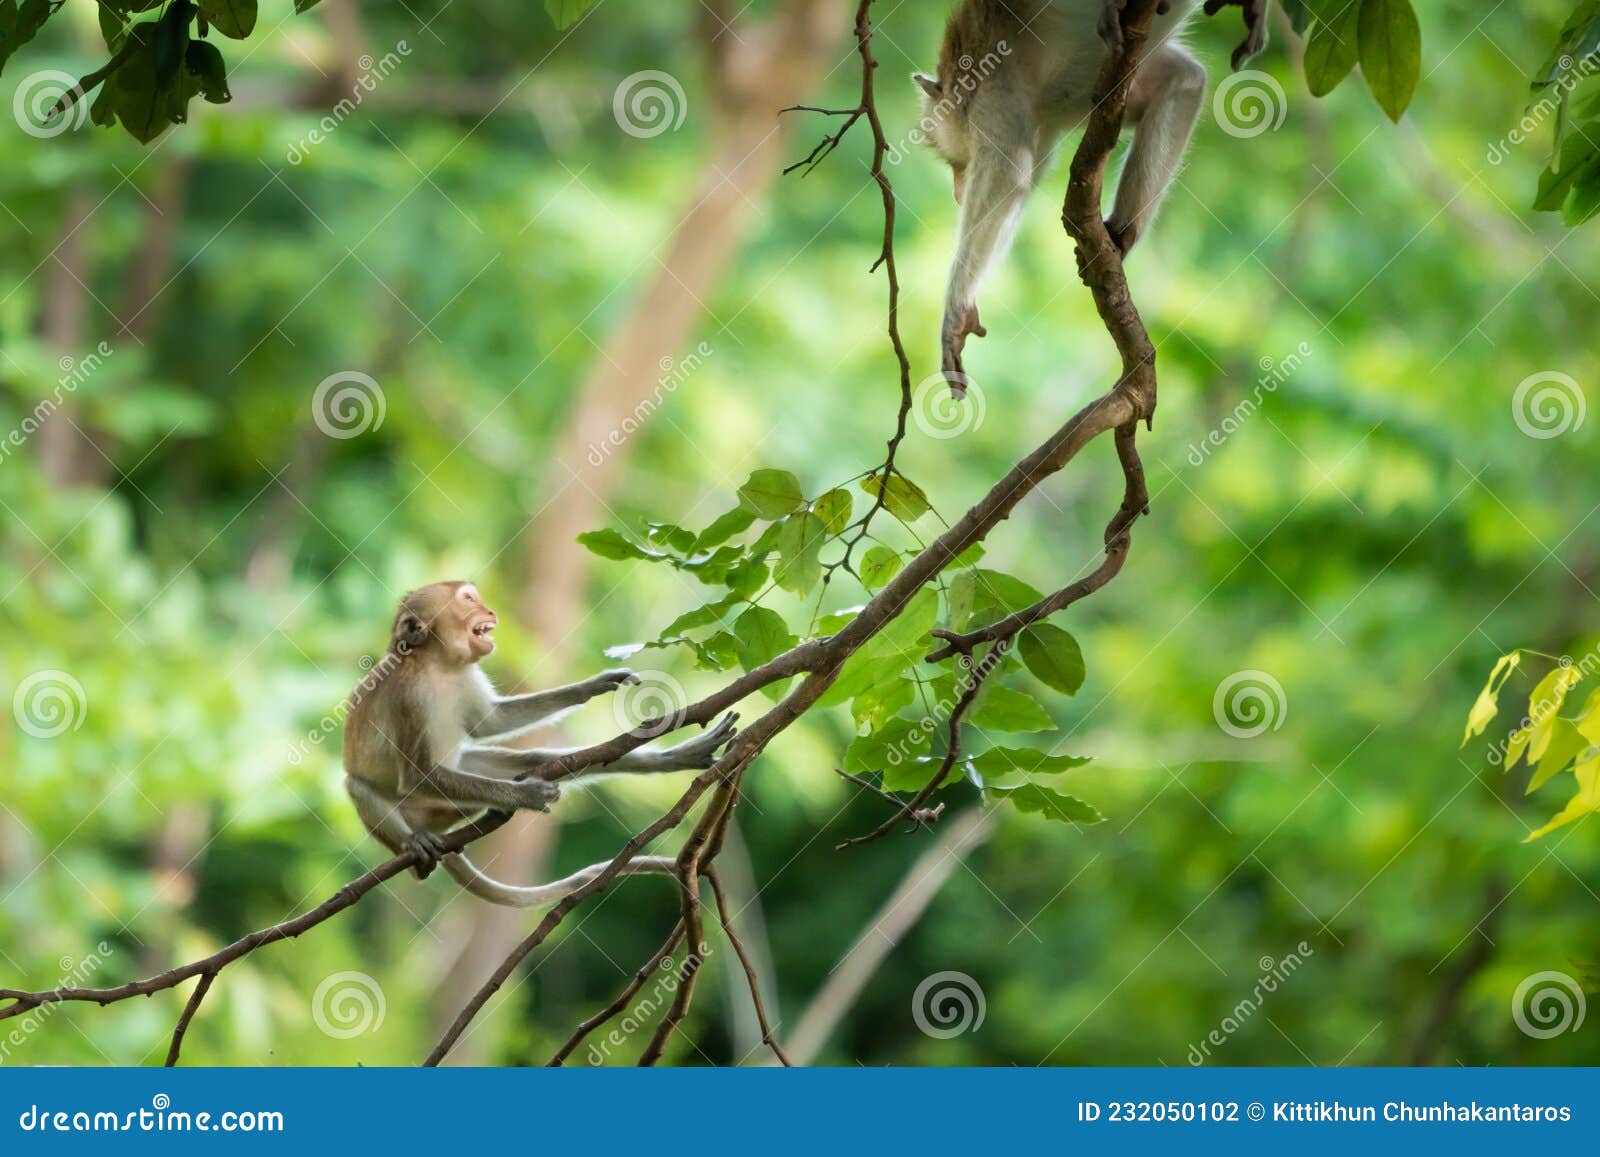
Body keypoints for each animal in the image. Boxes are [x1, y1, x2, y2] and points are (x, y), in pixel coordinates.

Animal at [341, 581, 739, 908]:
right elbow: (417, 773)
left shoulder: (467, 676)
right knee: (357, 785)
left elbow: (492, 721)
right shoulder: (409, 698)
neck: (438, 666)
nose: (491, 612)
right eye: (468, 599)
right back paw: (415, 847)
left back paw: (677, 756)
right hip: (413, 810)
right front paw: (525, 795)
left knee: (530, 760)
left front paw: (592, 686)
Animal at [916, 1, 1264, 391]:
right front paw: (1122, 234)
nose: (957, 191)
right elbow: (1184, 80)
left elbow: (1008, 176)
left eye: (954, 161)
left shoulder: (992, 94)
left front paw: (956, 312)